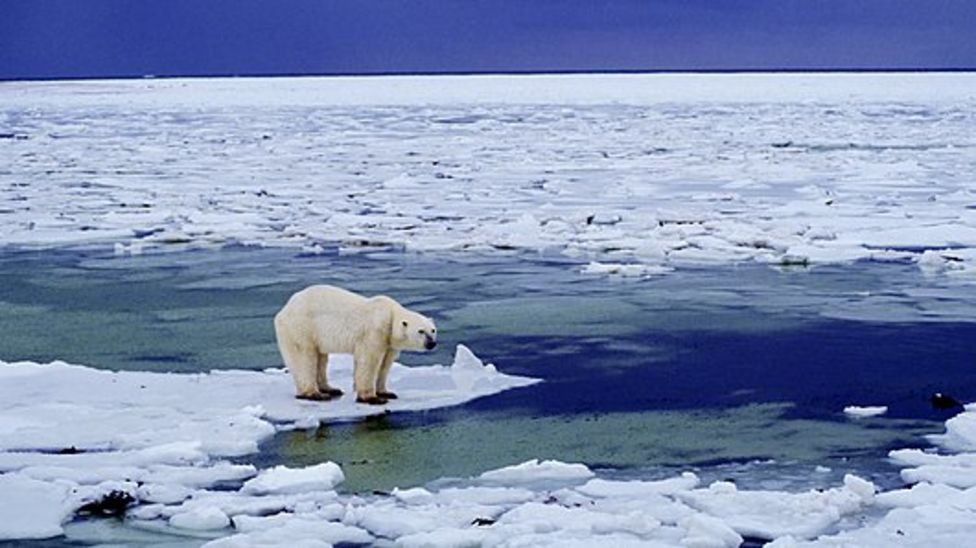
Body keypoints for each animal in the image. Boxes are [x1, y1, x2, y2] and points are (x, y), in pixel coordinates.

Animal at [273, 285, 437, 405]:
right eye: (421, 331)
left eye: (433, 330)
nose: (432, 343)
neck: (390, 315)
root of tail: (283, 310)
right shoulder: (375, 331)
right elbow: (368, 361)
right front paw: (373, 398)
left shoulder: (389, 343)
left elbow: (385, 364)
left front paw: (386, 392)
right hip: (301, 328)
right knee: (304, 358)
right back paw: (314, 394)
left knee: (321, 359)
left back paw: (330, 389)